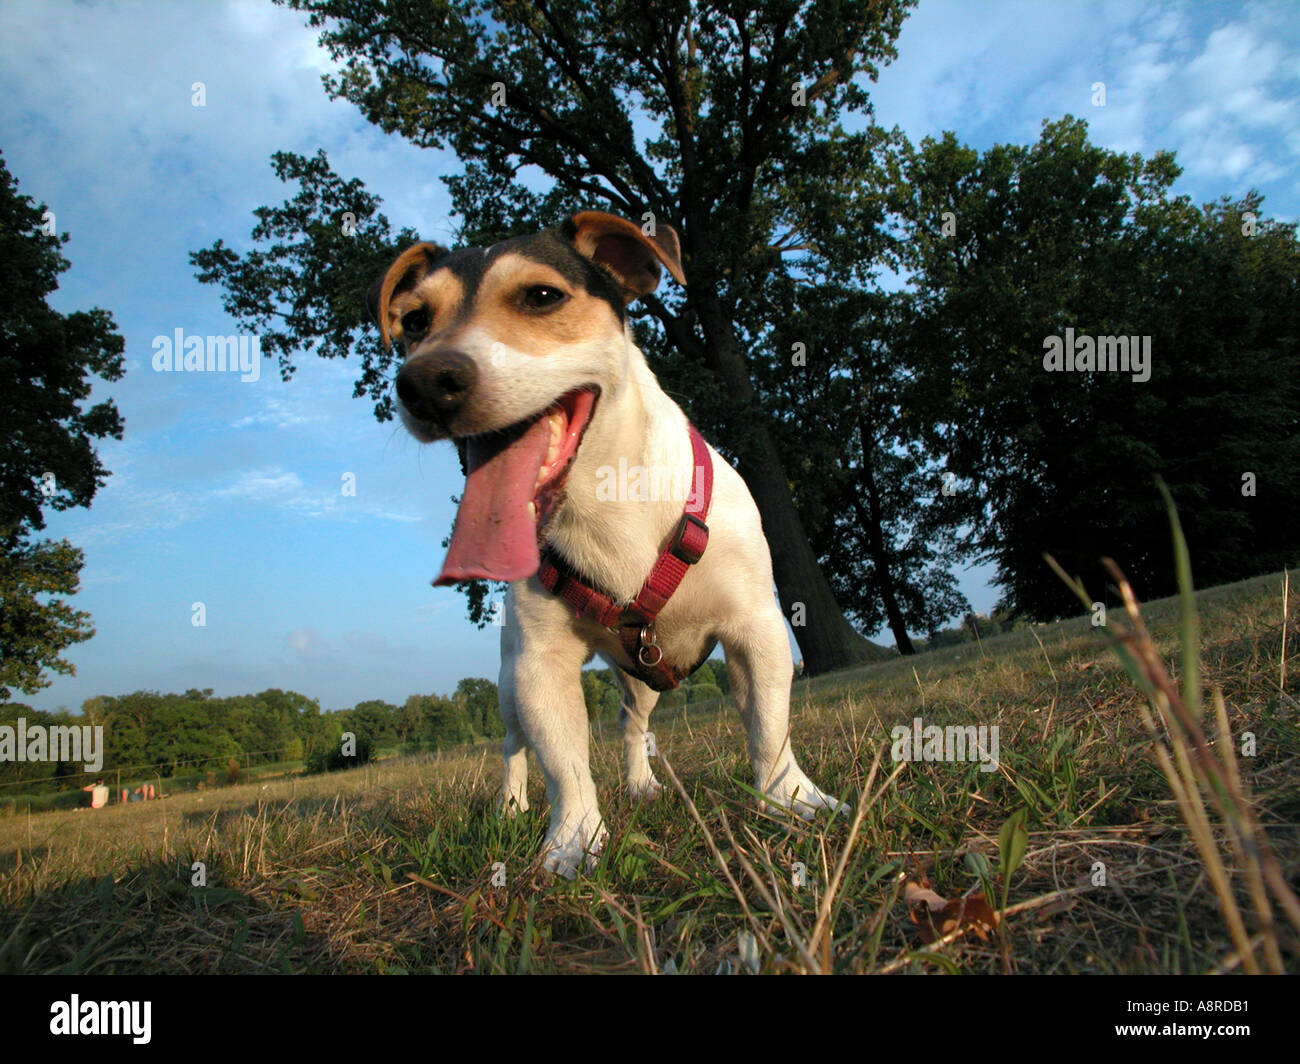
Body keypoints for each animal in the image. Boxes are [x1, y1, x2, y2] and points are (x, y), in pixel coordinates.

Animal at [377, 212, 842, 874]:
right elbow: (564, 766)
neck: (606, 501)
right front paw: (573, 841)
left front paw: (793, 799)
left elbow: (770, 727)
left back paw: (642, 784)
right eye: (415, 321)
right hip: (507, 682)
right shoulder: (540, 664)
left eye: (542, 296)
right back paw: (511, 806)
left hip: (642, 677)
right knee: (514, 745)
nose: (425, 381)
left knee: (629, 721)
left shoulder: (755, 626)